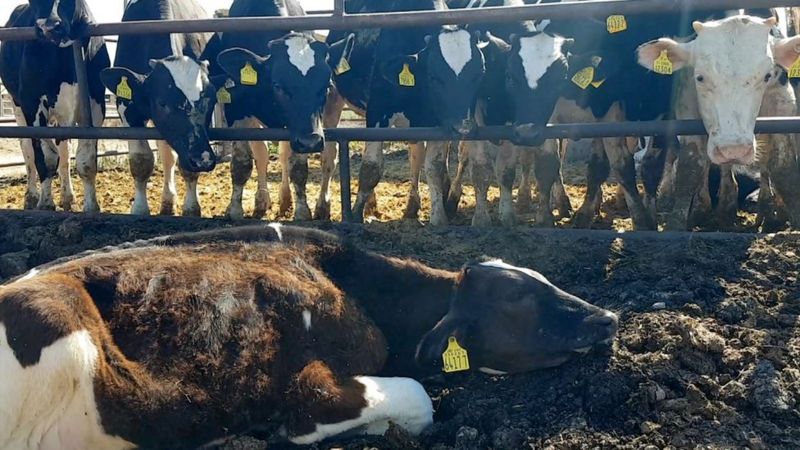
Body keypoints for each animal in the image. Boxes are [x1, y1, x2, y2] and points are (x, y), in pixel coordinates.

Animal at [0, 0, 109, 213]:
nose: (48, 26)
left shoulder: (95, 105)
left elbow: (86, 159)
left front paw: (91, 206)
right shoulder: (31, 102)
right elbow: (45, 158)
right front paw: (45, 203)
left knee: (64, 150)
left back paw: (68, 197)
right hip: (17, 105)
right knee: (27, 149)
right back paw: (31, 196)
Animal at [98, 0, 213, 217]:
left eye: (210, 100)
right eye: (162, 103)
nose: (203, 159)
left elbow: (185, 166)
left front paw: (191, 208)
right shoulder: (128, 110)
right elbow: (141, 161)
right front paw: (140, 209)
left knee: (169, 156)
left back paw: (168, 201)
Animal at [198, 0, 356, 221]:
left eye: (326, 85)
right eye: (278, 85)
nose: (311, 142)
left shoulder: (303, 128)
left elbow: (297, 167)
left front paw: (302, 211)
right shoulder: (236, 110)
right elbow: (241, 163)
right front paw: (235, 210)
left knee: (286, 155)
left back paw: (290, 201)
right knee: (262, 154)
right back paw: (261, 201)